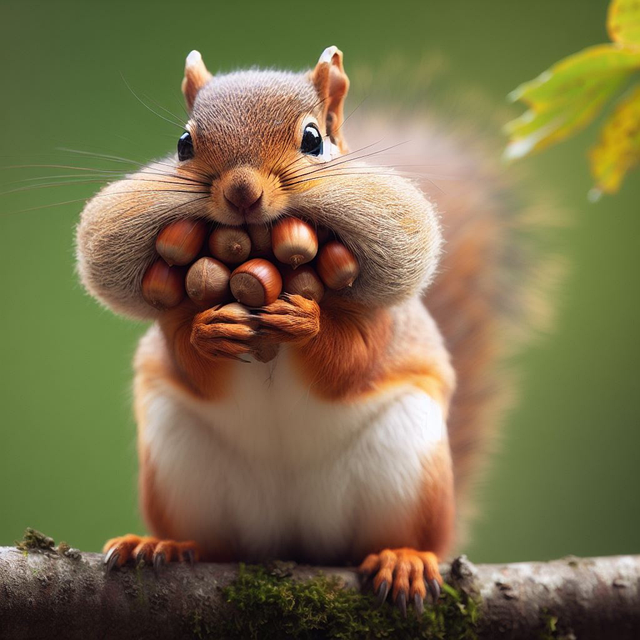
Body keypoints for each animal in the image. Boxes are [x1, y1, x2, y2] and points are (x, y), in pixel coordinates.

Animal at [76, 46, 550, 614]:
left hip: (409, 466)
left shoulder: (380, 321)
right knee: (210, 542)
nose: (242, 193)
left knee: (413, 538)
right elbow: (189, 361)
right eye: (184, 144)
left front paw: (306, 322)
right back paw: (161, 545)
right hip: (179, 464)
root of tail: (293, 542)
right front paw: (208, 331)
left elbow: (350, 362)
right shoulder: (169, 320)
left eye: (312, 139)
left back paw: (405, 559)